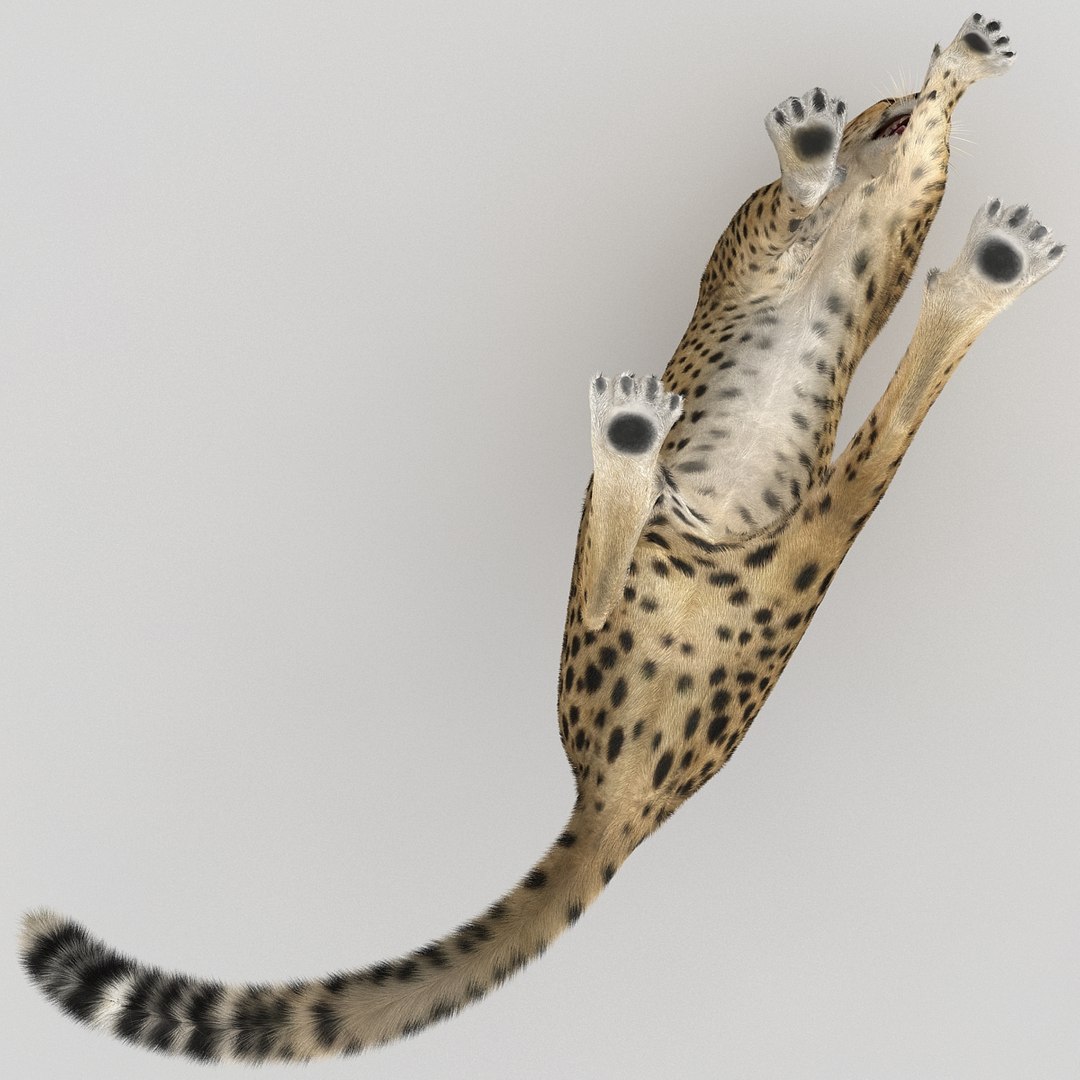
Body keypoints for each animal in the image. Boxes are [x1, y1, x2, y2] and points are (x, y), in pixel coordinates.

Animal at [20, 13, 1063, 1065]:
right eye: (879, 104)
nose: (887, 110)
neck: (861, 205)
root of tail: (626, 801)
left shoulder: (854, 219)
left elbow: (862, 182)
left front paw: (913, 99)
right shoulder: (809, 231)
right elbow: (849, 187)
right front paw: (904, 103)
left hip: (757, 559)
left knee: (717, 526)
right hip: (767, 548)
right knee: (842, 457)